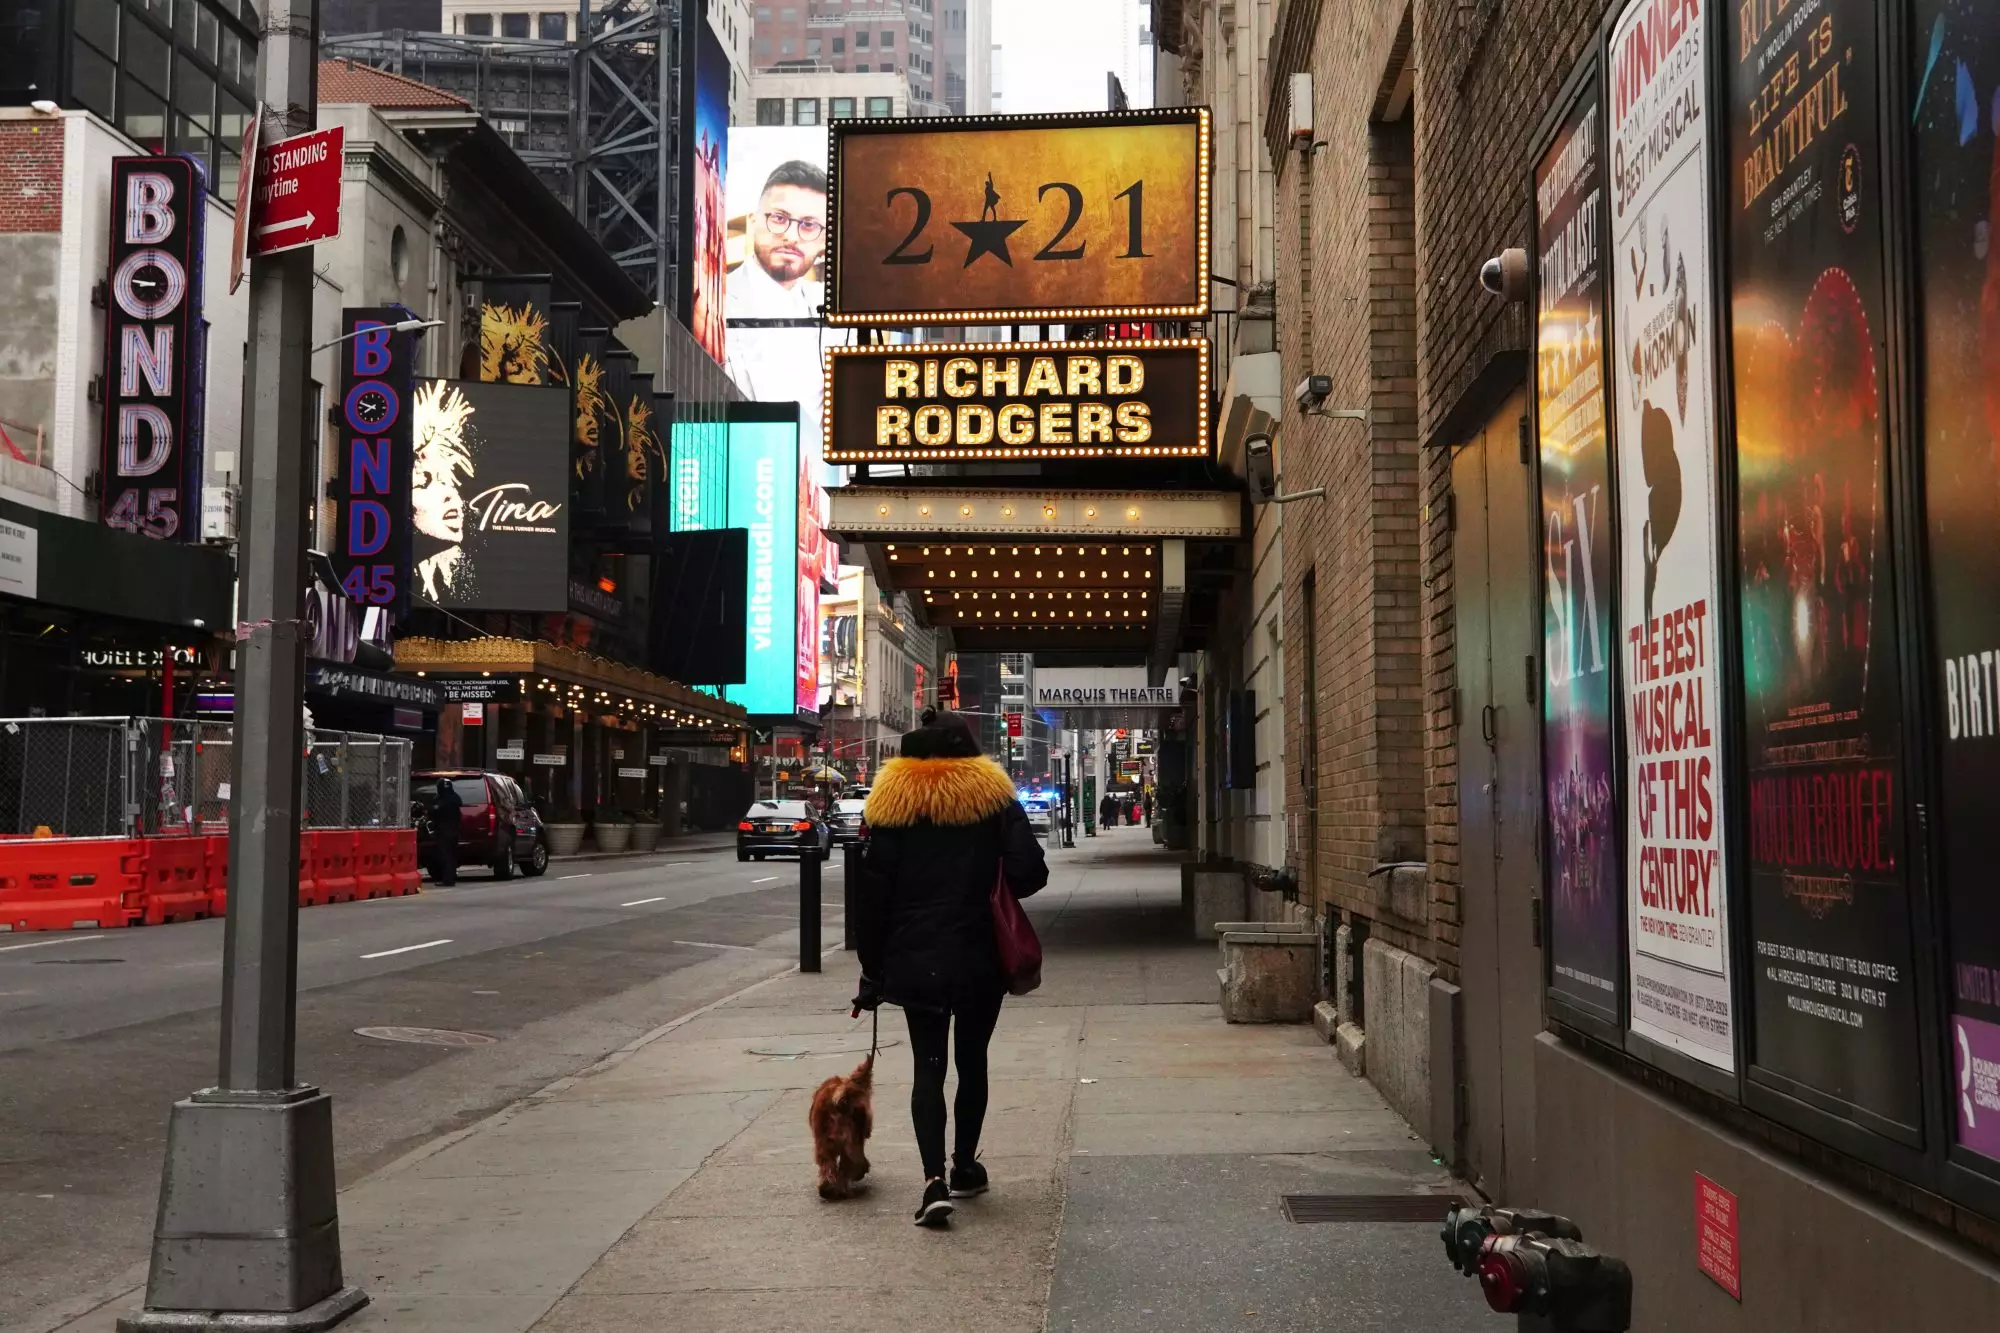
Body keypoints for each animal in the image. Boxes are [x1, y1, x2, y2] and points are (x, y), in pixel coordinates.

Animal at [804, 1040, 876, 1200]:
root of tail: (844, 1097)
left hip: (825, 1143)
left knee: (830, 1167)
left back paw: (830, 1189)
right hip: (850, 1140)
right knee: (848, 1165)